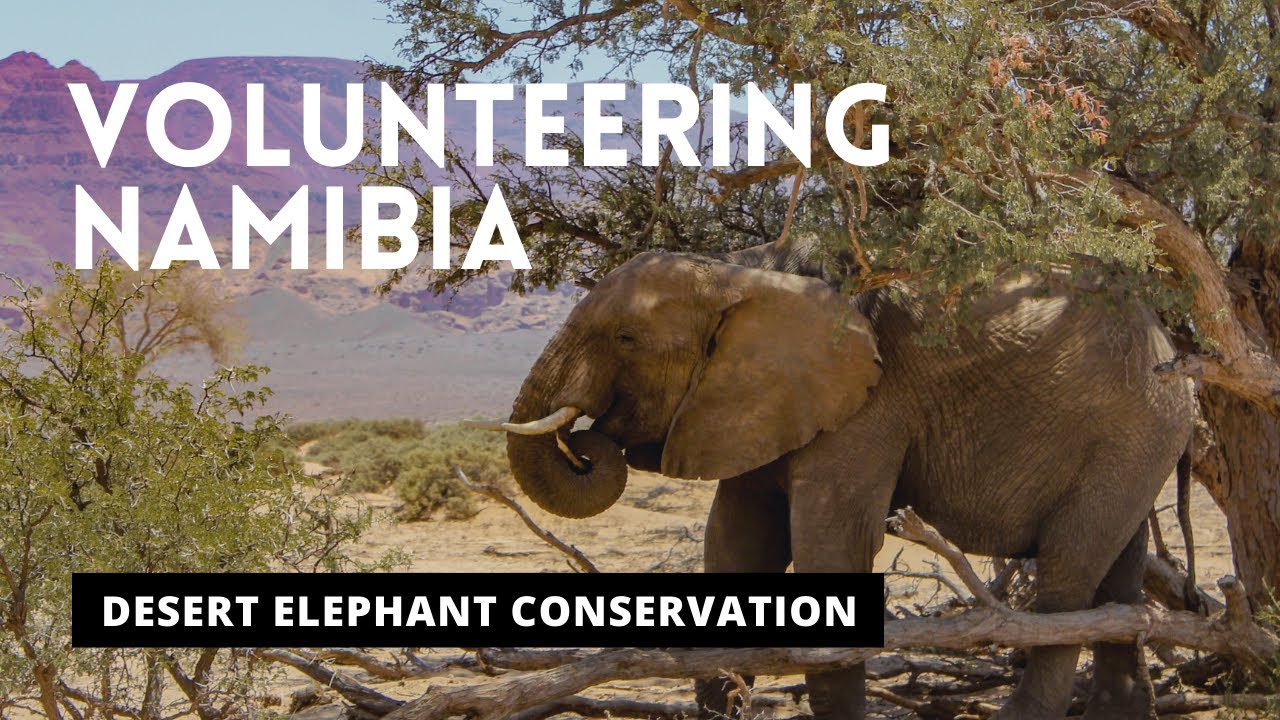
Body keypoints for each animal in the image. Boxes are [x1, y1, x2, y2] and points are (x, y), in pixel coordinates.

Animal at [488, 240, 1196, 720]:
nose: (587, 446)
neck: (741, 273)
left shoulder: (867, 404)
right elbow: (737, 544)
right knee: (1118, 574)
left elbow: (832, 549)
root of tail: (1170, 341)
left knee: (1069, 576)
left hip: (1132, 427)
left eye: (627, 338)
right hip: (1140, 440)